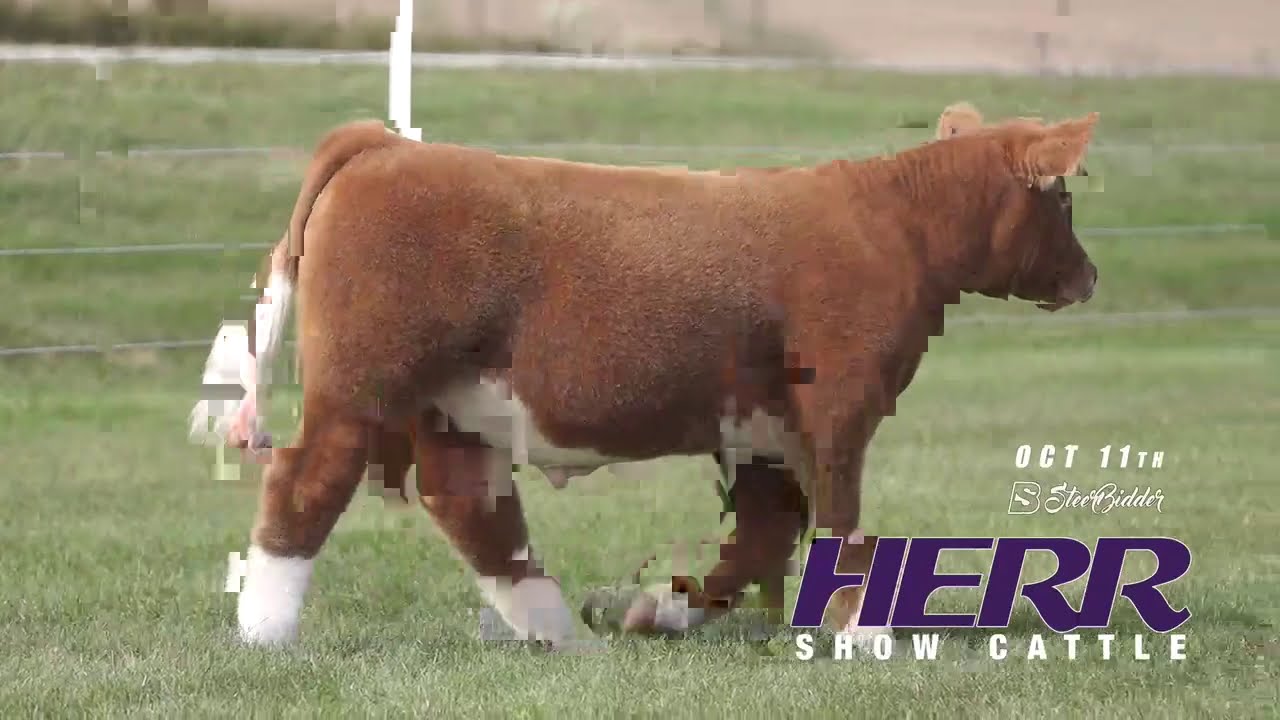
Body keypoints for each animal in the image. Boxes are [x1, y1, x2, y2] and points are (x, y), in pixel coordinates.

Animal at [190, 101, 1099, 651]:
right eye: (1061, 199)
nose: (1088, 276)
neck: (892, 225)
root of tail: (386, 146)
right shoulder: (839, 403)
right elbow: (841, 519)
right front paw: (863, 634)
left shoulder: (762, 426)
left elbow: (765, 529)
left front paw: (660, 607)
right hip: (362, 384)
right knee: (307, 481)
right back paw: (265, 632)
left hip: (456, 404)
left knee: (471, 505)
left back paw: (562, 632)